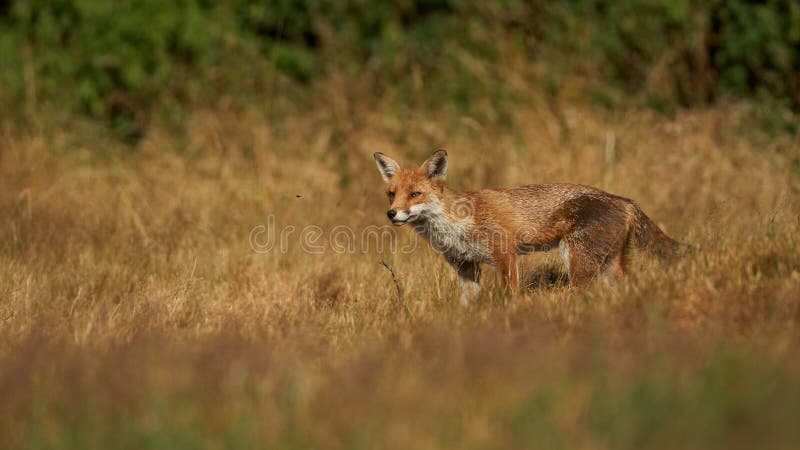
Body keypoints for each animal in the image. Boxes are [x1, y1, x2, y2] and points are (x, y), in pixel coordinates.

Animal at [374, 149, 684, 305]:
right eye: (391, 194)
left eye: (415, 194)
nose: (392, 213)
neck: (455, 224)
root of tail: (622, 199)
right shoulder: (466, 265)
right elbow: (468, 304)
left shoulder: (504, 254)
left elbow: (509, 294)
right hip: (609, 266)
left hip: (577, 263)